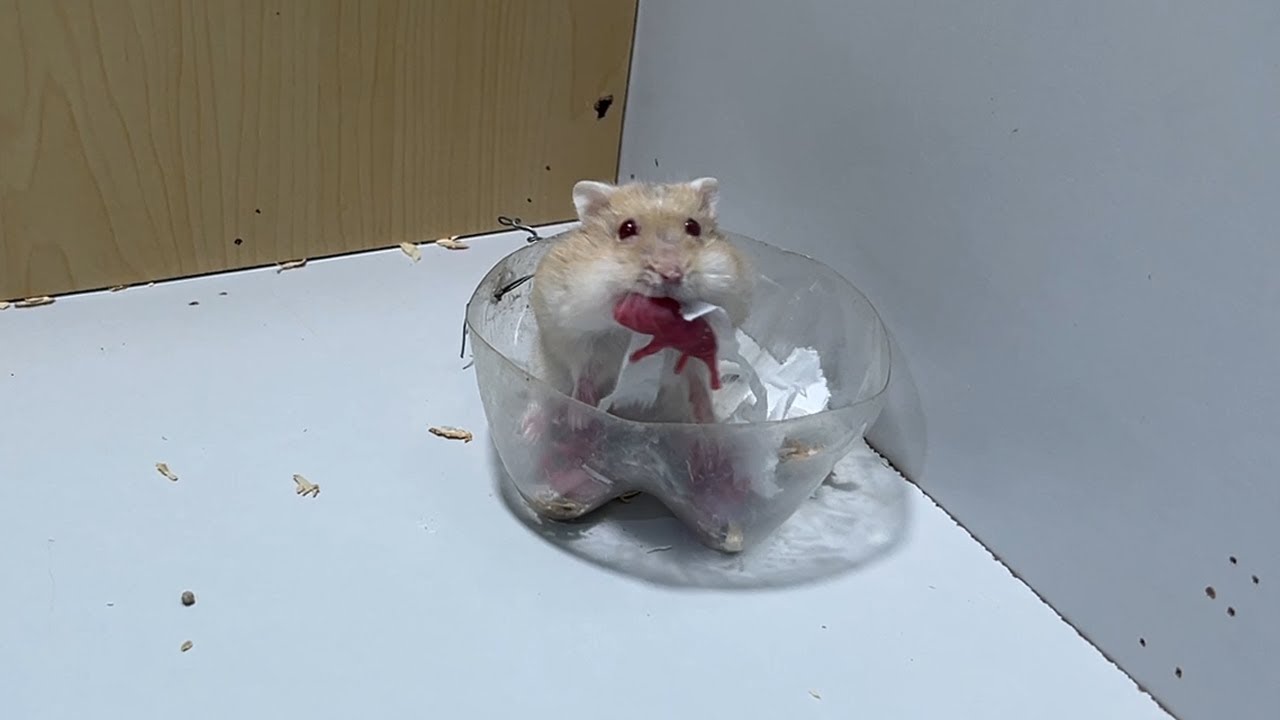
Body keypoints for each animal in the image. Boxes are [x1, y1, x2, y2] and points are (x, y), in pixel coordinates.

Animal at [528, 177, 754, 424]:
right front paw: (579, 420)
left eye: (693, 227)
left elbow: (699, 385)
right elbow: (583, 375)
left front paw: (708, 421)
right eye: (626, 229)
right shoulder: (575, 337)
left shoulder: (697, 358)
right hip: (543, 373)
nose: (672, 273)